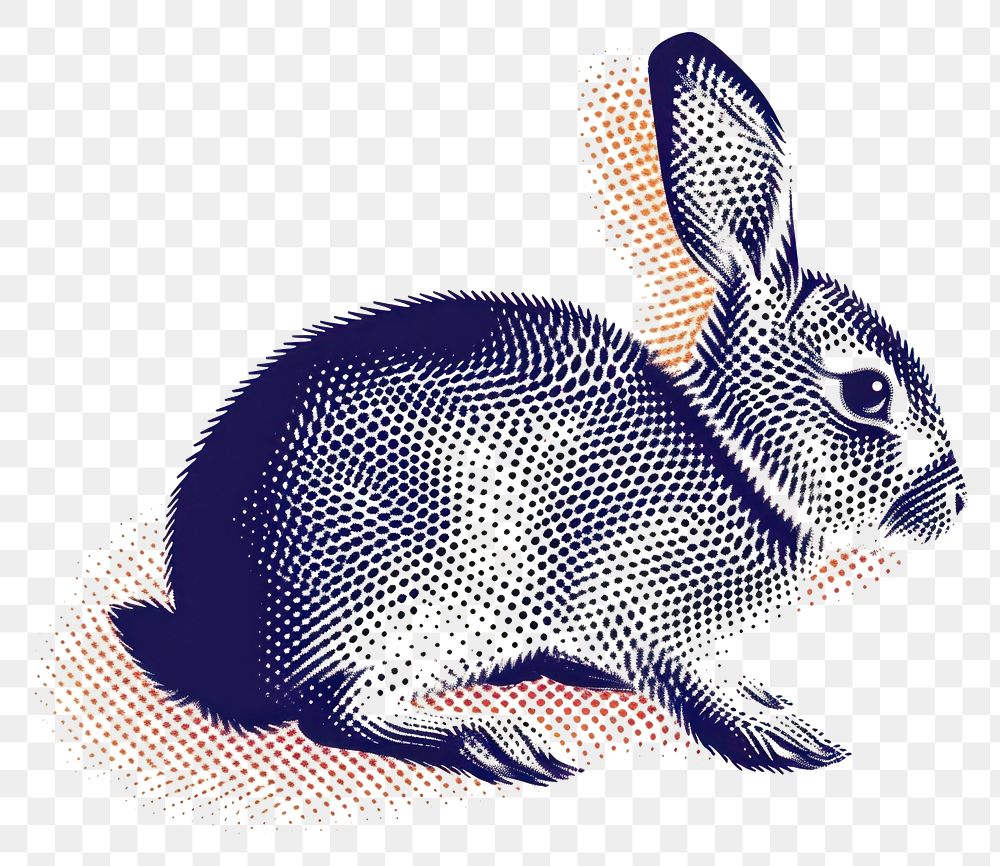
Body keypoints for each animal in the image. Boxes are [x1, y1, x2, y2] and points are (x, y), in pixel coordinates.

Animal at [110, 32, 966, 785]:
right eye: (869, 392)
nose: (957, 505)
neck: (737, 455)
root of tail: (216, 644)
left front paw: (763, 693)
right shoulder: (636, 610)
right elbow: (686, 687)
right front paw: (774, 736)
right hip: (410, 601)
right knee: (336, 713)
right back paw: (492, 742)